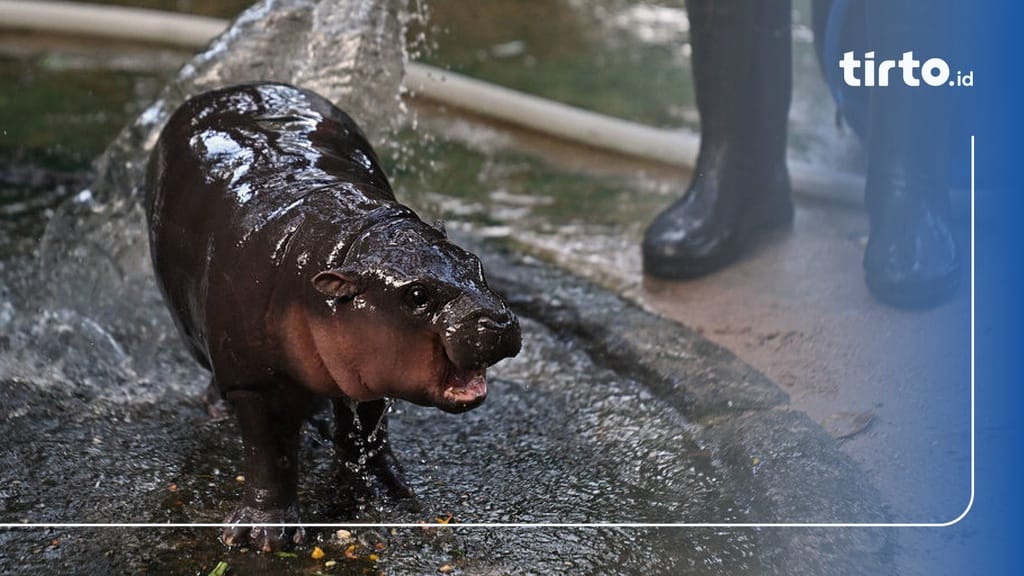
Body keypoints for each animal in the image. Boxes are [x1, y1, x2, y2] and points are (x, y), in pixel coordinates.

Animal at [145, 82, 521, 551]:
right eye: (416, 295)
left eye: (475, 263)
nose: (498, 321)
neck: (347, 242)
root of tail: (230, 89)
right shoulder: (255, 382)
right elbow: (270, 453)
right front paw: (264, 537)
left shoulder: (371, 367)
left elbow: (370, 428)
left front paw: (384, 490)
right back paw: (219, 410)